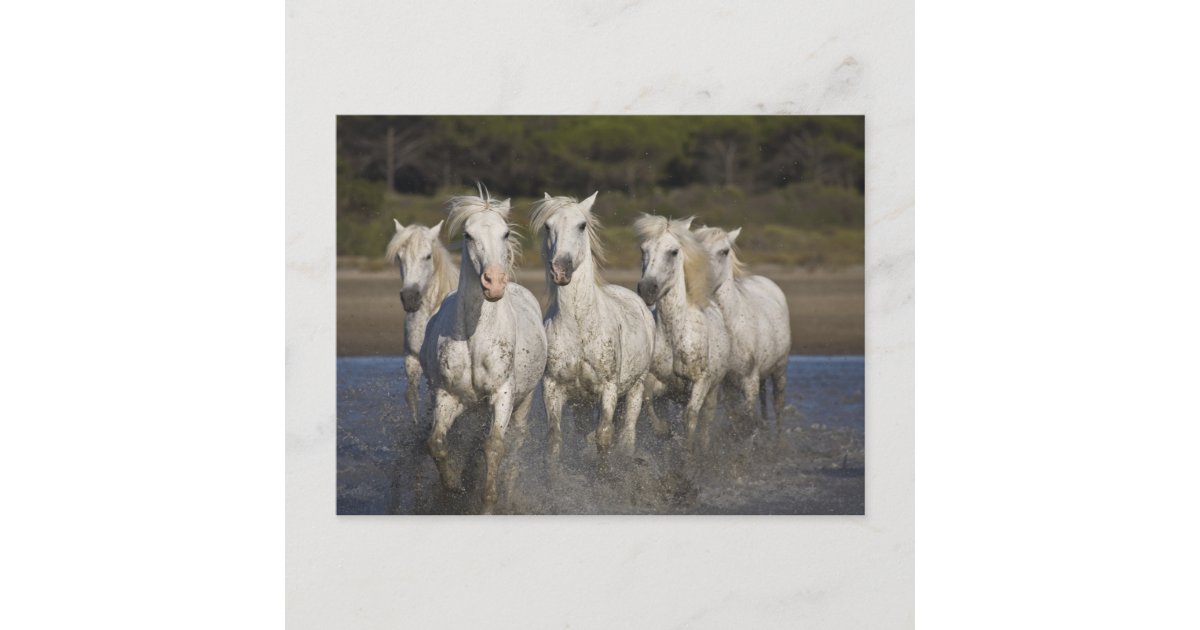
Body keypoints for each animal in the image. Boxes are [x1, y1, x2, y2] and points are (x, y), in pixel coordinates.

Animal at [419, 189, 548, 513]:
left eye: (505, 233)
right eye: (468, 235)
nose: (494, 282)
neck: (475, 338)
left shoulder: (503, 394)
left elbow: (495, 446)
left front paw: (489, 500)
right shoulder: (447, 396)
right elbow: (436, 443)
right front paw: (453, 485)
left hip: (524, 402)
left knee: (515, 444)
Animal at [531, 192, 655, 470]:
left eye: (581, 225)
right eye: (548, 226)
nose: (561, 269)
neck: (579, 326)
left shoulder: (608, 389)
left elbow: (604, 436)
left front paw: (603, 476)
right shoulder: (552, 388)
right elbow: (554, 440)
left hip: (635, 388)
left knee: (627, 434)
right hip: (582, 404)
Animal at [633, 214, 731, 454]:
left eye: (674, 251)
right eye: (643, 249)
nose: (647, 289)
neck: (675, 336)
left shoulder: (701, 382)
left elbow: (690, 416)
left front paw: (688, 452)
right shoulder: (657, 382)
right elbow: (647, 402)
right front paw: (663, 431)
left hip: (712, 392)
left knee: (706, 421)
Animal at [693, 226, 791, 433]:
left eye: (724, 251)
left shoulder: (749, 379)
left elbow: (746, 418)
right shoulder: (724, 385)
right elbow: (735, 418)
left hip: (779, 369)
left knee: (778, 406)